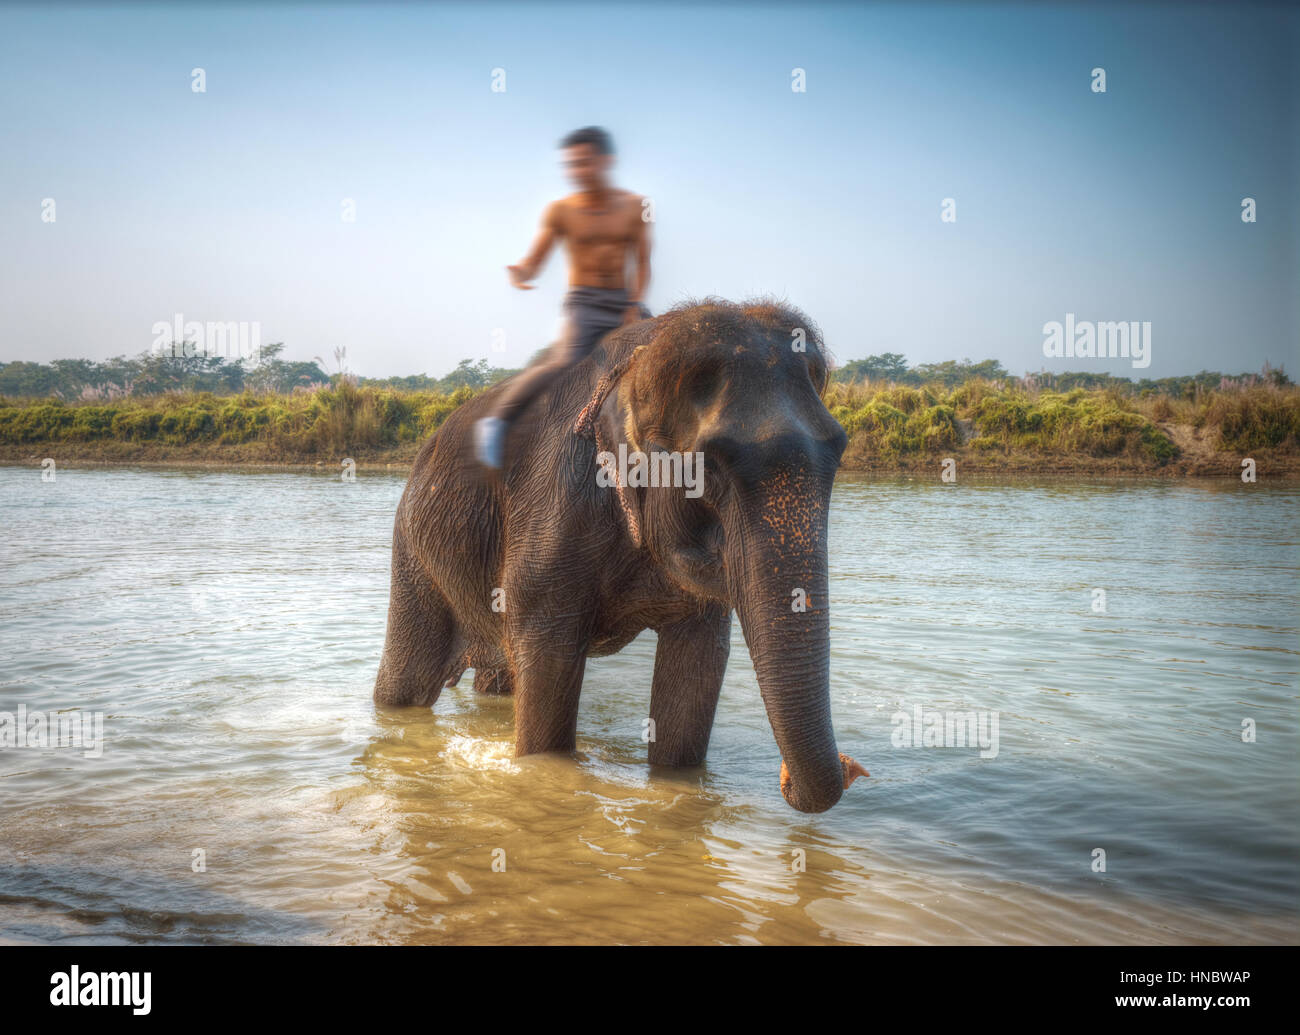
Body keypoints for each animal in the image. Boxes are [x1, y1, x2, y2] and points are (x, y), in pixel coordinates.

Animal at [373, 298, 868, 813]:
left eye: (839, 451)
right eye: (709, 466)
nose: (848, 767)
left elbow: (695, 671)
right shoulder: (555, 503)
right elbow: (548, 669)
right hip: (413, 549)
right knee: (406, 681)